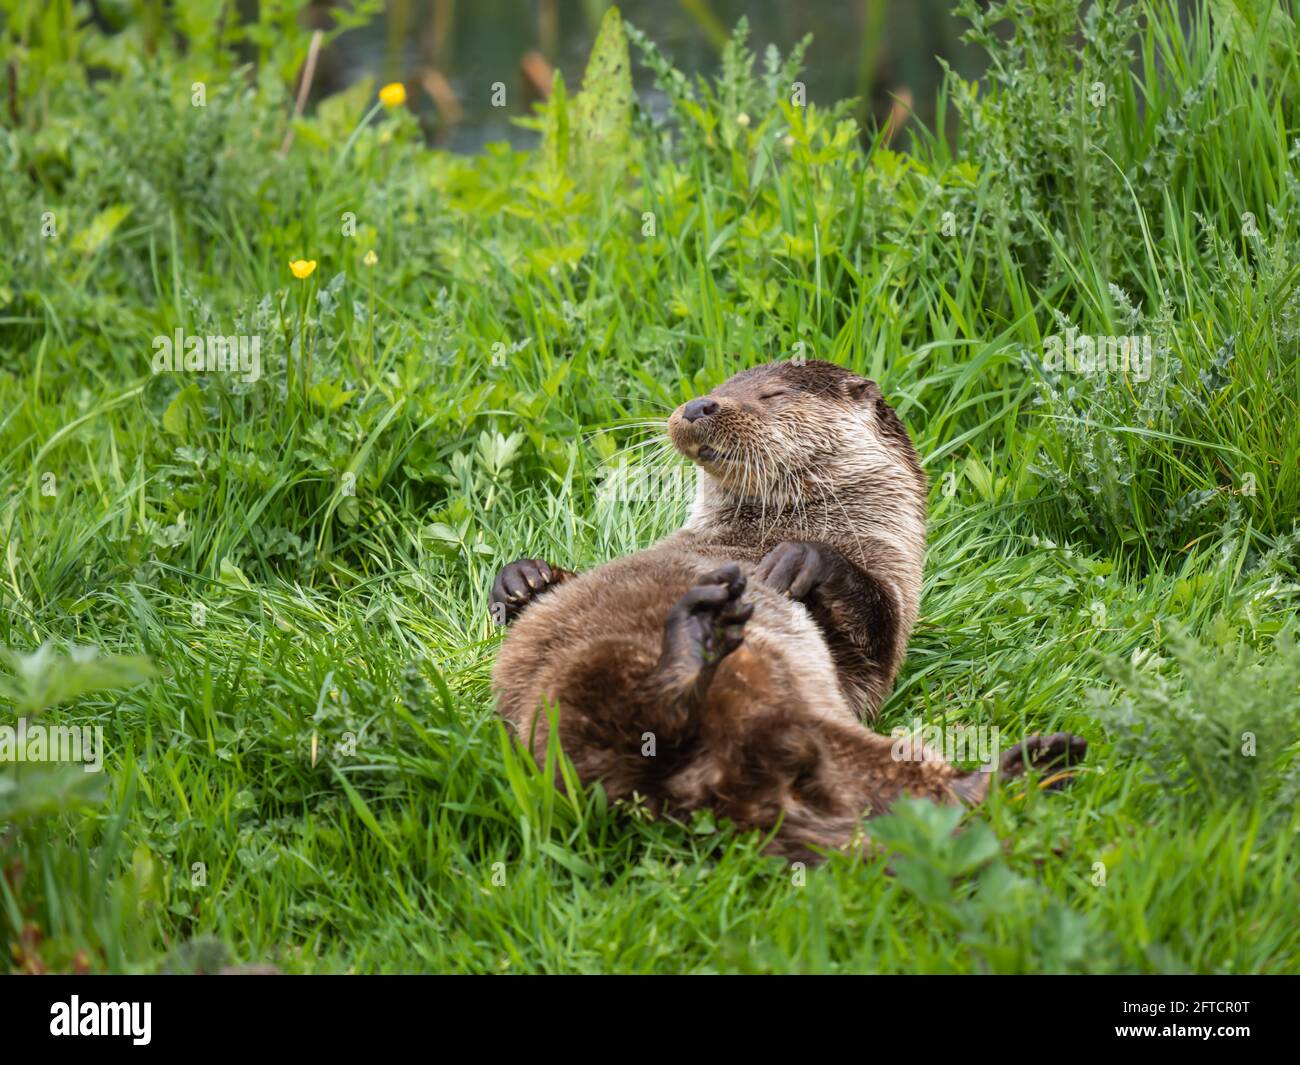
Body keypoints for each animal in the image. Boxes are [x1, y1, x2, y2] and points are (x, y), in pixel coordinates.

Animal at [491, 360, 1084, 859]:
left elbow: (874, 637)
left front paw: (803, 561)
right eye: (719, 385)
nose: (699, 405)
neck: (760, 534)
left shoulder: (888, 598)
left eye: (771, 394)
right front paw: (523, 580)